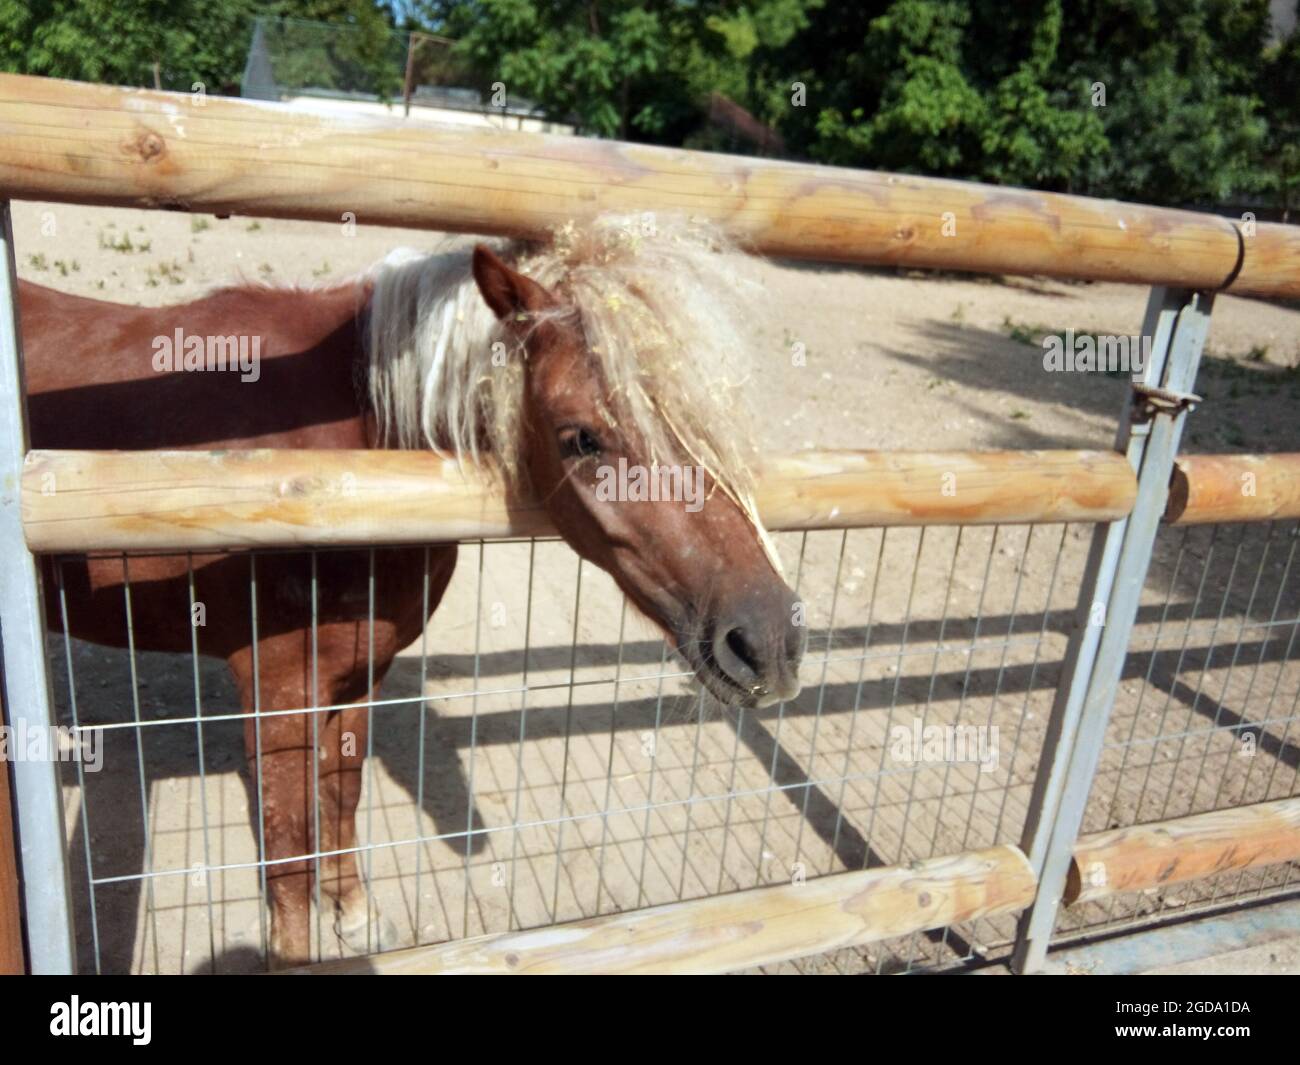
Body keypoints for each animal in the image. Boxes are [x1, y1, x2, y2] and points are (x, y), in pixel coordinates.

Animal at [19, 214, 806, 968]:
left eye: (711, 414)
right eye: (582, 437)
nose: (768, 639)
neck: (349, 455)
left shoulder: (357, 674)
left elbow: (341, 792)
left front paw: (355, 914)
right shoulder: (276, 690)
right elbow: (288, 851)